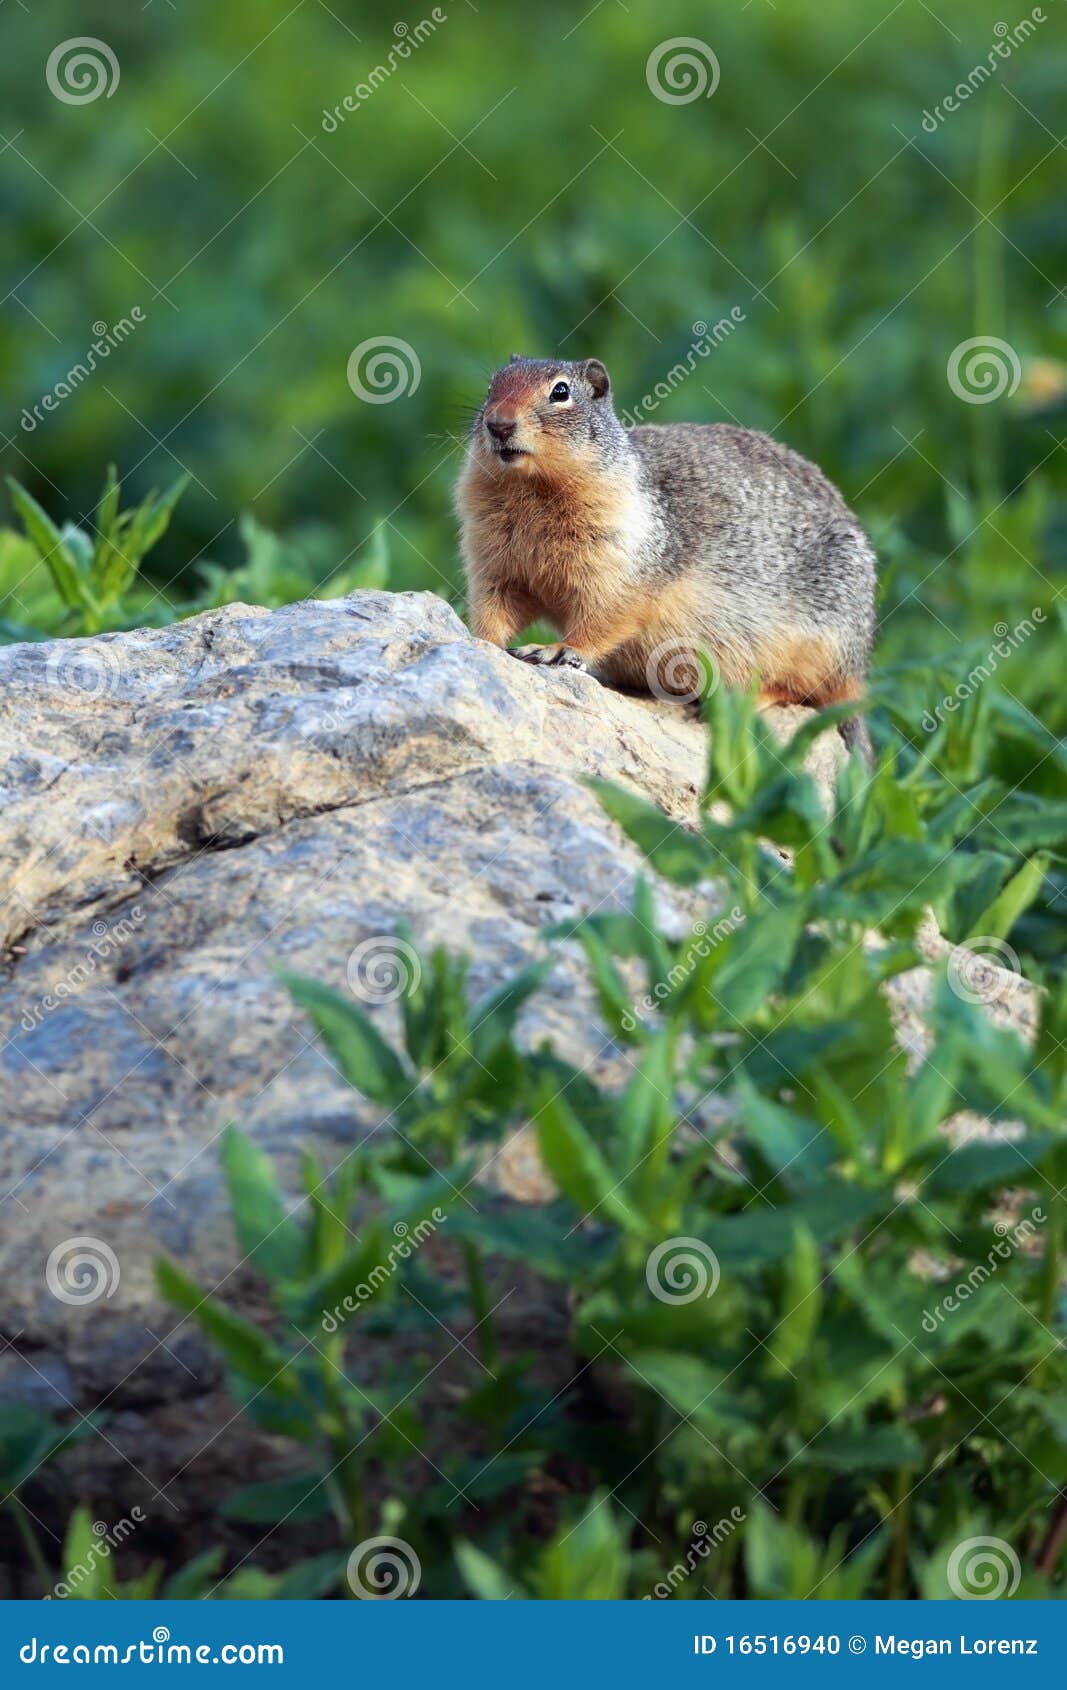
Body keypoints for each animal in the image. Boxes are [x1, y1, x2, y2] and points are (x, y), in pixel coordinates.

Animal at [456, 355, 876, 760]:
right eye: (493, 384)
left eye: (560, 391)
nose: (498, 424)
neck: (532, 490)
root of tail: (859, 661)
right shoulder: (493, 561)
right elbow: (495, 605)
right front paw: (481, 641)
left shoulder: (624, 558)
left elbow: (606, 613)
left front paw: (555, 650)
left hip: (820, 642)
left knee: (810, 694)